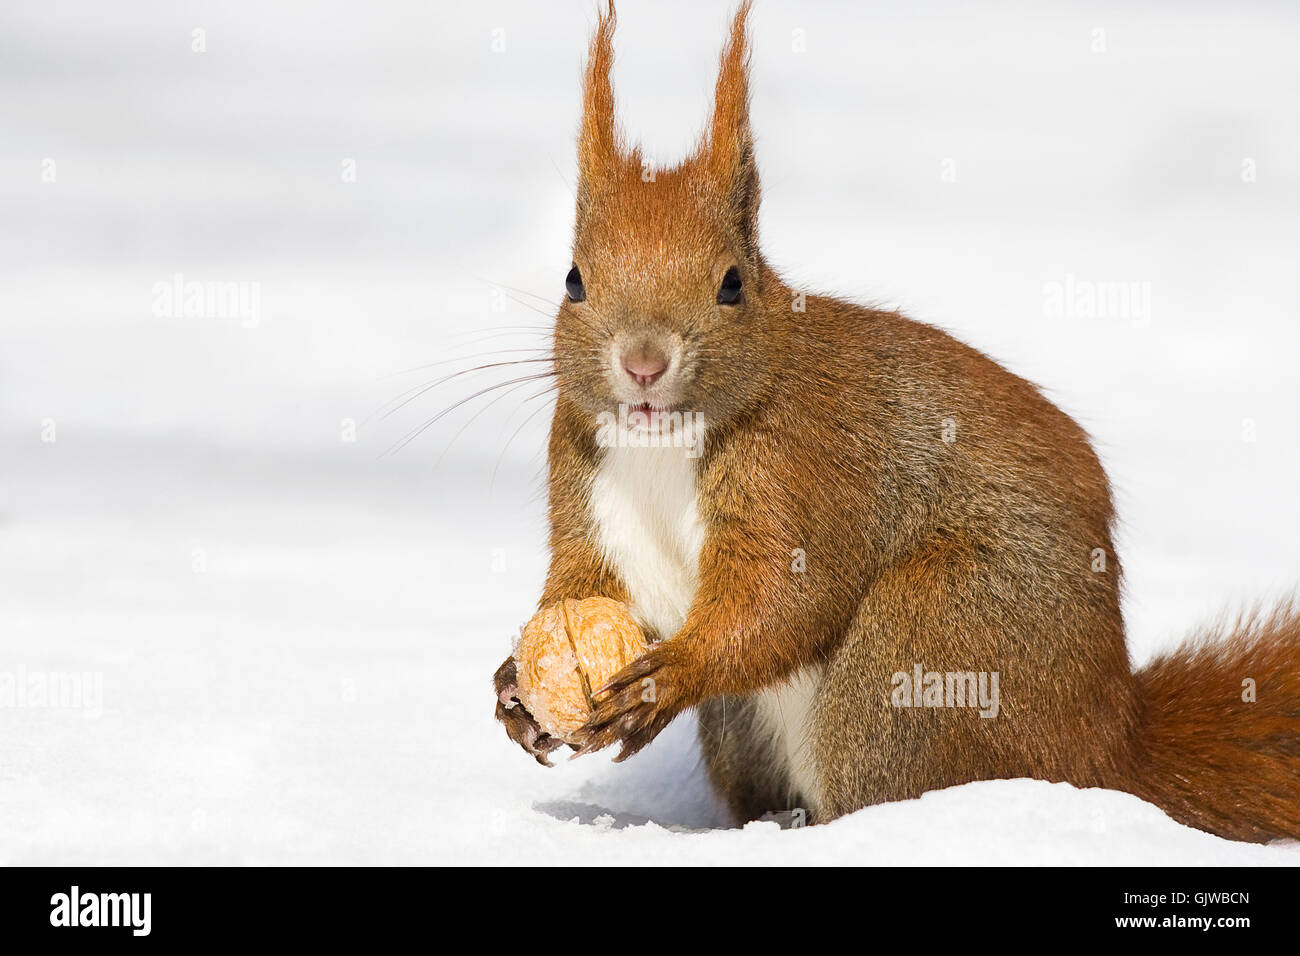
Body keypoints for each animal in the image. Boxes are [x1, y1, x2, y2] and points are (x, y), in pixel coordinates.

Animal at [492, 1, 1300, 843]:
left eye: (732, 284)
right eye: (574, 280)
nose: (643, 363)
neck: (661, 446)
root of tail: (1106, 746)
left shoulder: (802, 470)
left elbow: (782, 602)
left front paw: (668, 679)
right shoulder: (589, 482)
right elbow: (587, 583)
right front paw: (514, 690)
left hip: (925, 643)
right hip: (754, 727)